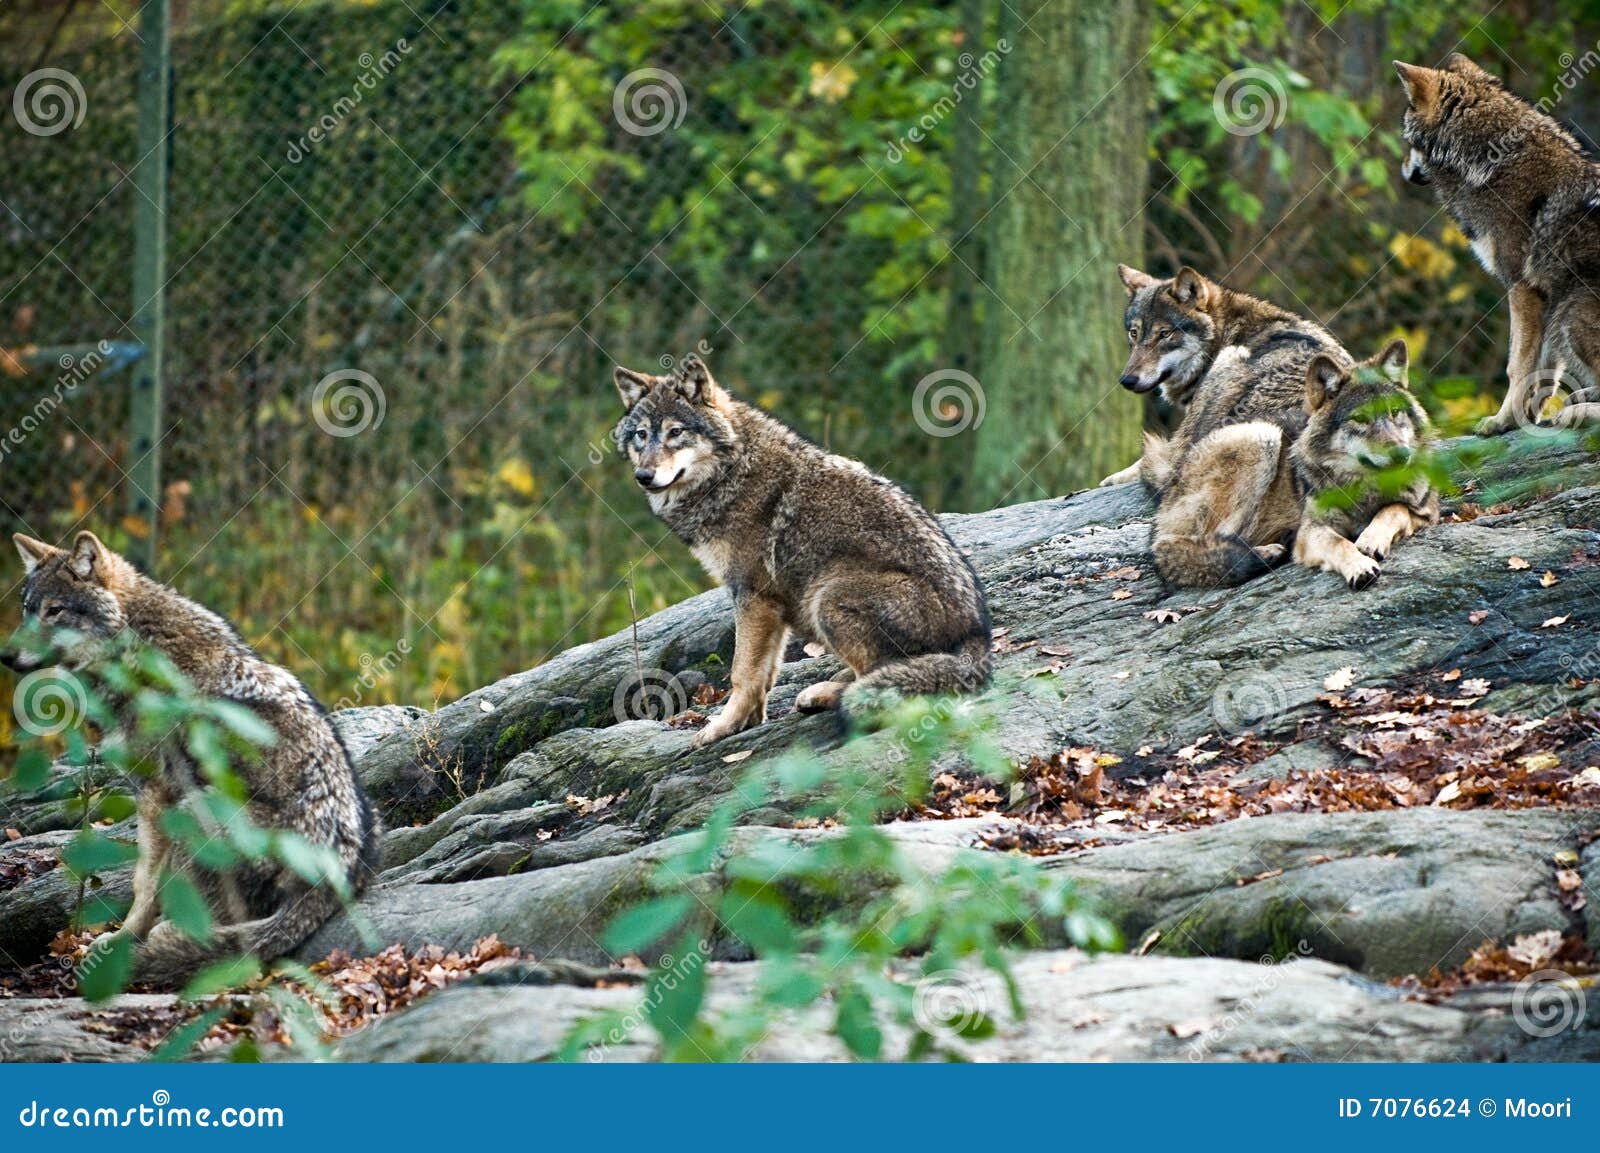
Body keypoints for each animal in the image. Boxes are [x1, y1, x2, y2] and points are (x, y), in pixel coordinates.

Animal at [1, 532, 379, 985]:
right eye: (27, 610)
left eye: (54, 610)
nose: (5, 657)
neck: (133, 644)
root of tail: (334, 877)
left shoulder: (156, 794)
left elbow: (144, 883)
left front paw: (121, 940)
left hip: (196, 809)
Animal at [612, 354, 991, 746]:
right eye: (642, 435)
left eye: (676, 432)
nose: (643, 476)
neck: (732, 470)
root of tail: (976, 636)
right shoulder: (770, 607)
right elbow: (763, 675)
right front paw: (749, 721)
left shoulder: (753, 596)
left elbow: (741, 673)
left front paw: (720, 727)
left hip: (826, 596)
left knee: (879, 679)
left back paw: (830, 694)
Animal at [1111, 265, 1353, 586]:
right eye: (1134, 333)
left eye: (1165, 334)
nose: (1128, 380)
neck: (1232, 327)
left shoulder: (1180, 444)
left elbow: (1149, 462)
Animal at [1396, 53, 1600, 433]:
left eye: (1406, 139)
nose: (1403, 171)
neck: (1494, 160)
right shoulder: (1542, 296)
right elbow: (1541, 374)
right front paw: (1523, 418)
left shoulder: (1522, 287)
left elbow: (1517, 367)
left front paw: (1502, 420)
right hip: (1563, 309)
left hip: (1572, 307)